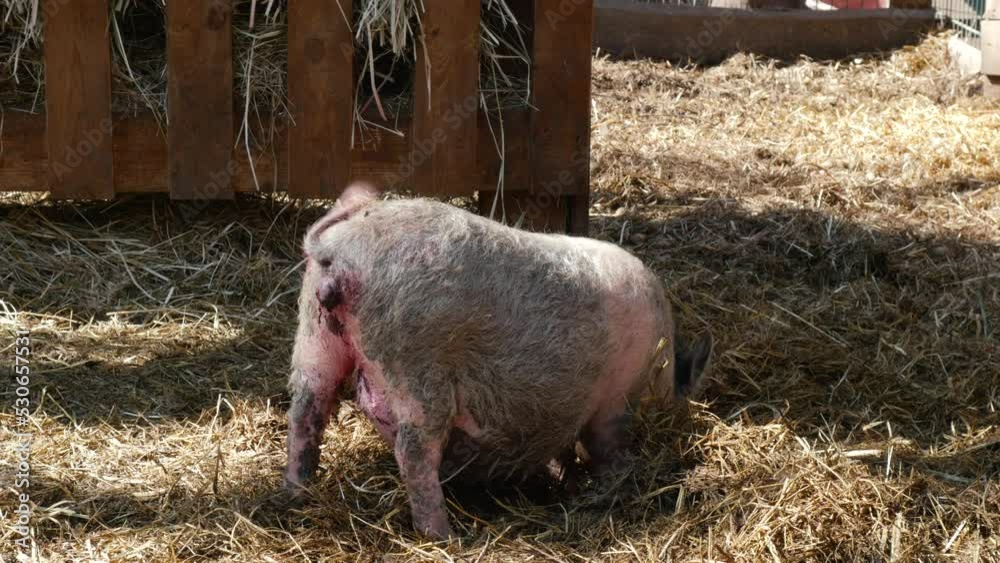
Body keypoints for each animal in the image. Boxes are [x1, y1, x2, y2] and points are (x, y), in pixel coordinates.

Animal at [284, 182, 713, 539]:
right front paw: (607, 487)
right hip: (416, 371)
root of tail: (340, 251)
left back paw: (294, 494)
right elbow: (606, 451)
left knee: (305, 414)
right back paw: (445, 536)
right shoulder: (612, 405)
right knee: (414, 454)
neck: (658, 366)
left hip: (314, 340)